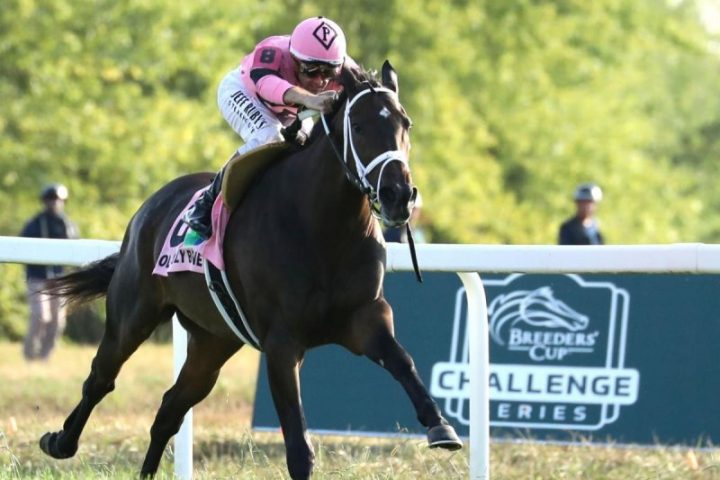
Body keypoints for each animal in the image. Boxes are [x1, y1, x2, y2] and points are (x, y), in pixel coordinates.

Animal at [40, 61, 462, 479]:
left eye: (405, 123)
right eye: (357, 126)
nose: (398, 195)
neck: (322, 227)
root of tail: (150, 206)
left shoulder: (365, 317)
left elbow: (402, 360)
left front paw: (441, 426)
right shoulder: (281, 343)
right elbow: (298, 448)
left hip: (213, 340)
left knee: (169, 408)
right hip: (133, 314)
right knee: (100, 379)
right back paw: (60, 442)